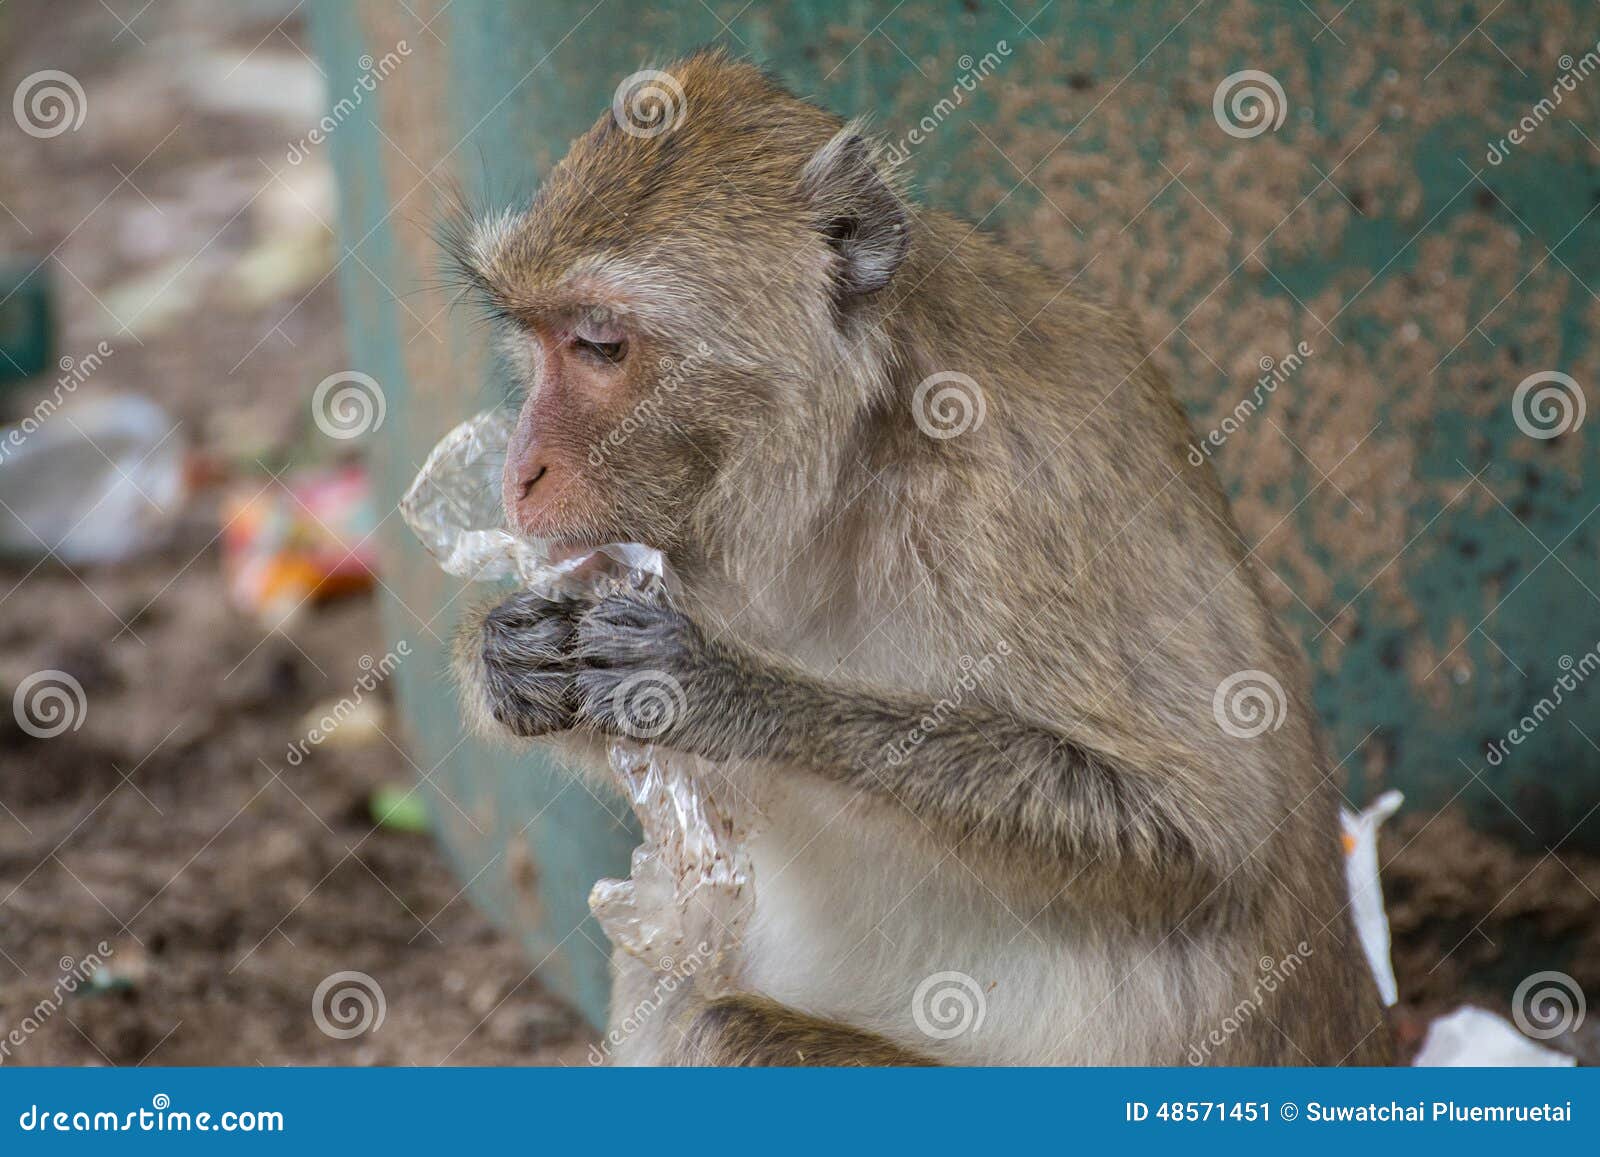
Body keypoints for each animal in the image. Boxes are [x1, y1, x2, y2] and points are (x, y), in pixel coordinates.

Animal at [448, 47, 1393, 1067]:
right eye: (532, 335)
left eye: (598, 344)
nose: (516, 469)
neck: (856, 454)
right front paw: (507, 645)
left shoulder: (1011, 509)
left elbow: (1201, 832)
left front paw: (728, 693)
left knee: (721, 1027)